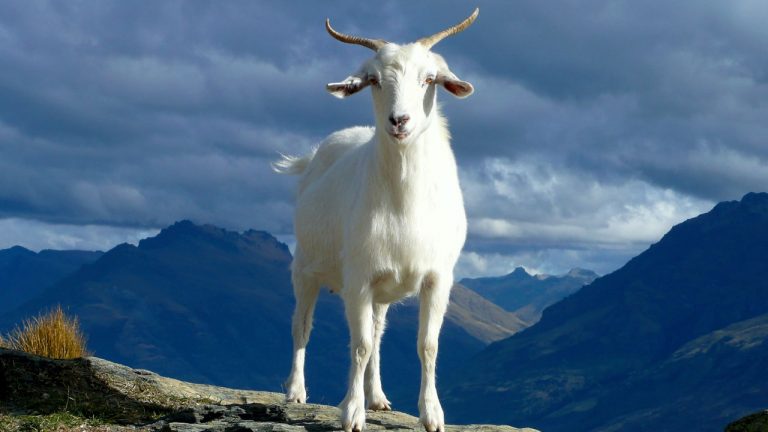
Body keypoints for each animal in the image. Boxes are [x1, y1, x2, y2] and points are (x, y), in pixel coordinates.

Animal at [273, 9, 478, 432]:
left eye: (429, 79)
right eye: (374, 80)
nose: (399, 121)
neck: (404, 202)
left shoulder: (437, 278)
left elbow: (426, 345)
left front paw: (432, 414)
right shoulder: (359, 279)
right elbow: (360, 345)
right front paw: (352, 413)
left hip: (383, 290)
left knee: (379, 334)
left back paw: (378, 397)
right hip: (305, 269)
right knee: (302, 325)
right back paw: (296, 391)